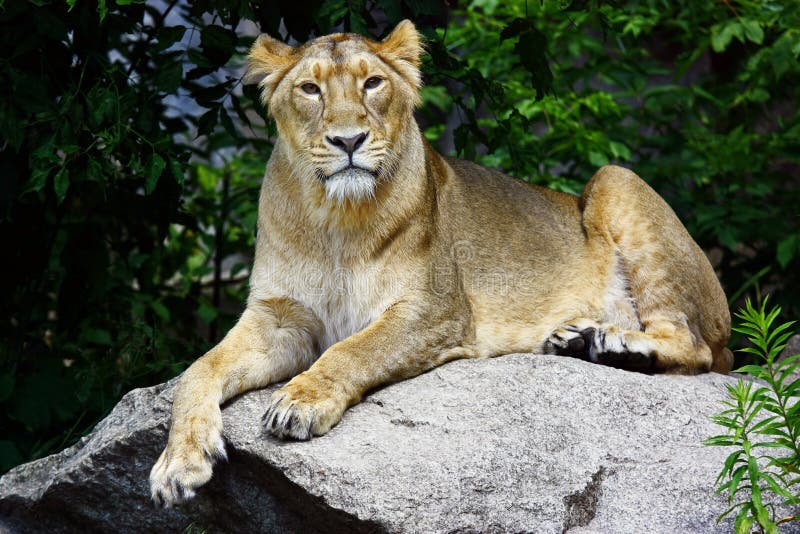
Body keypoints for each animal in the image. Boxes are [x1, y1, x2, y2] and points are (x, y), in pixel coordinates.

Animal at [150, 20, 732, 506]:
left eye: (371, 84)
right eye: (310, 90)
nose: (348, 140)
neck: (335, 219)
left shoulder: (434, 310)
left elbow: (352, 351)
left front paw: (300, 402)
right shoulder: (282, 318)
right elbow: (197, 370)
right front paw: (178, 464)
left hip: (616, 179)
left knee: (695, 348)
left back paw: (617, 343)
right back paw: (578, 339)